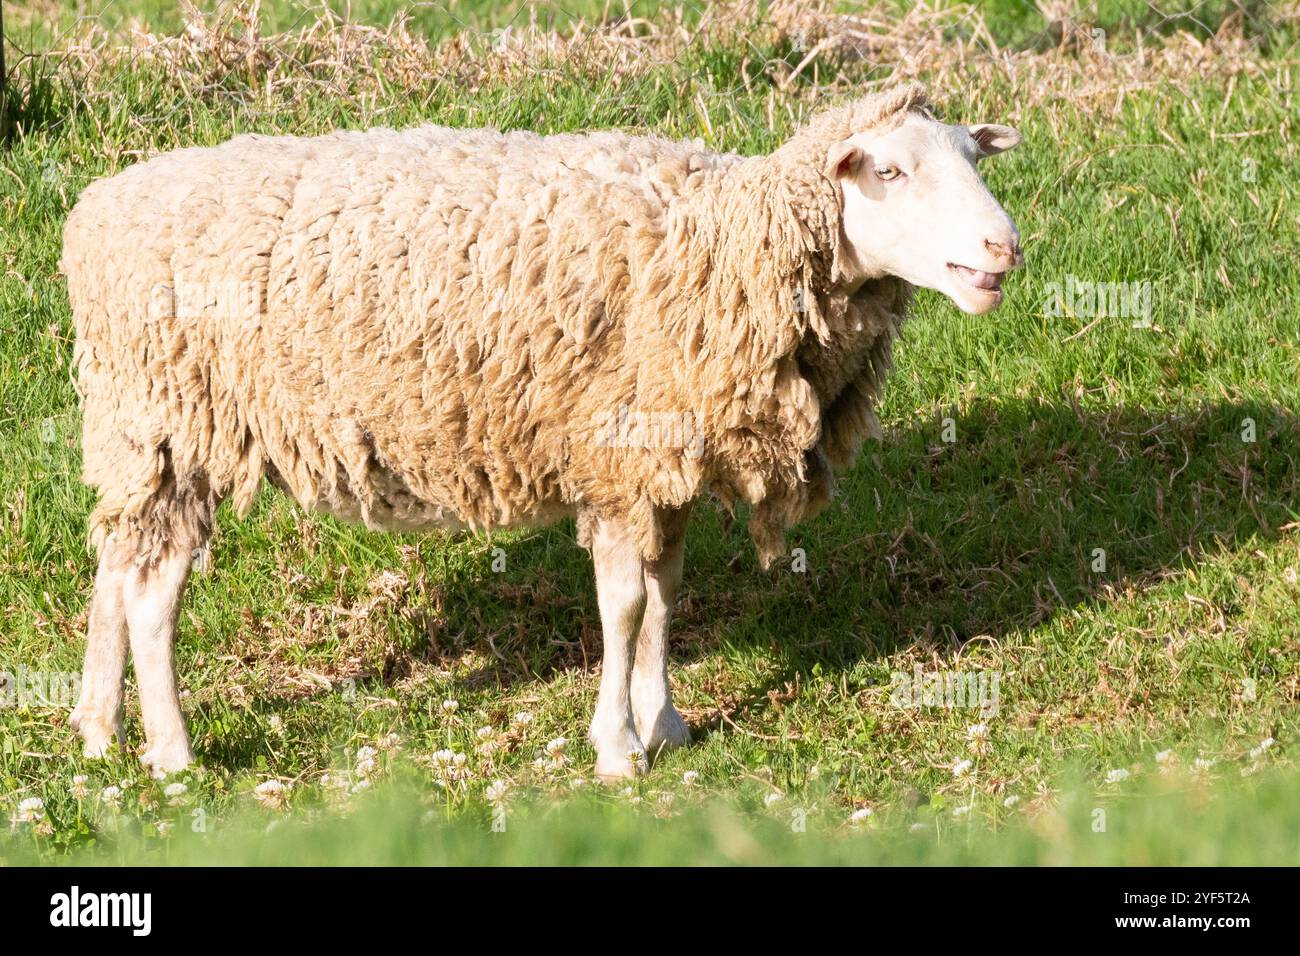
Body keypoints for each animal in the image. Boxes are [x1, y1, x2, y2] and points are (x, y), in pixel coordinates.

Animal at [61, 84, 1023, 780]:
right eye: (888, 172)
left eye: (973, 156)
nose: (1004, 247)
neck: (725, 248)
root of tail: (93, 214)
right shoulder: (620, 454)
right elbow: (626, 603)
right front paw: (618, 748)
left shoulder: (662, 462)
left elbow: (666, 594)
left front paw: (666, 722)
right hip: (177, 417)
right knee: (151, 596)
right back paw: (174, 751)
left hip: (137, 433)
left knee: (114, 561)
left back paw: (101, 731)